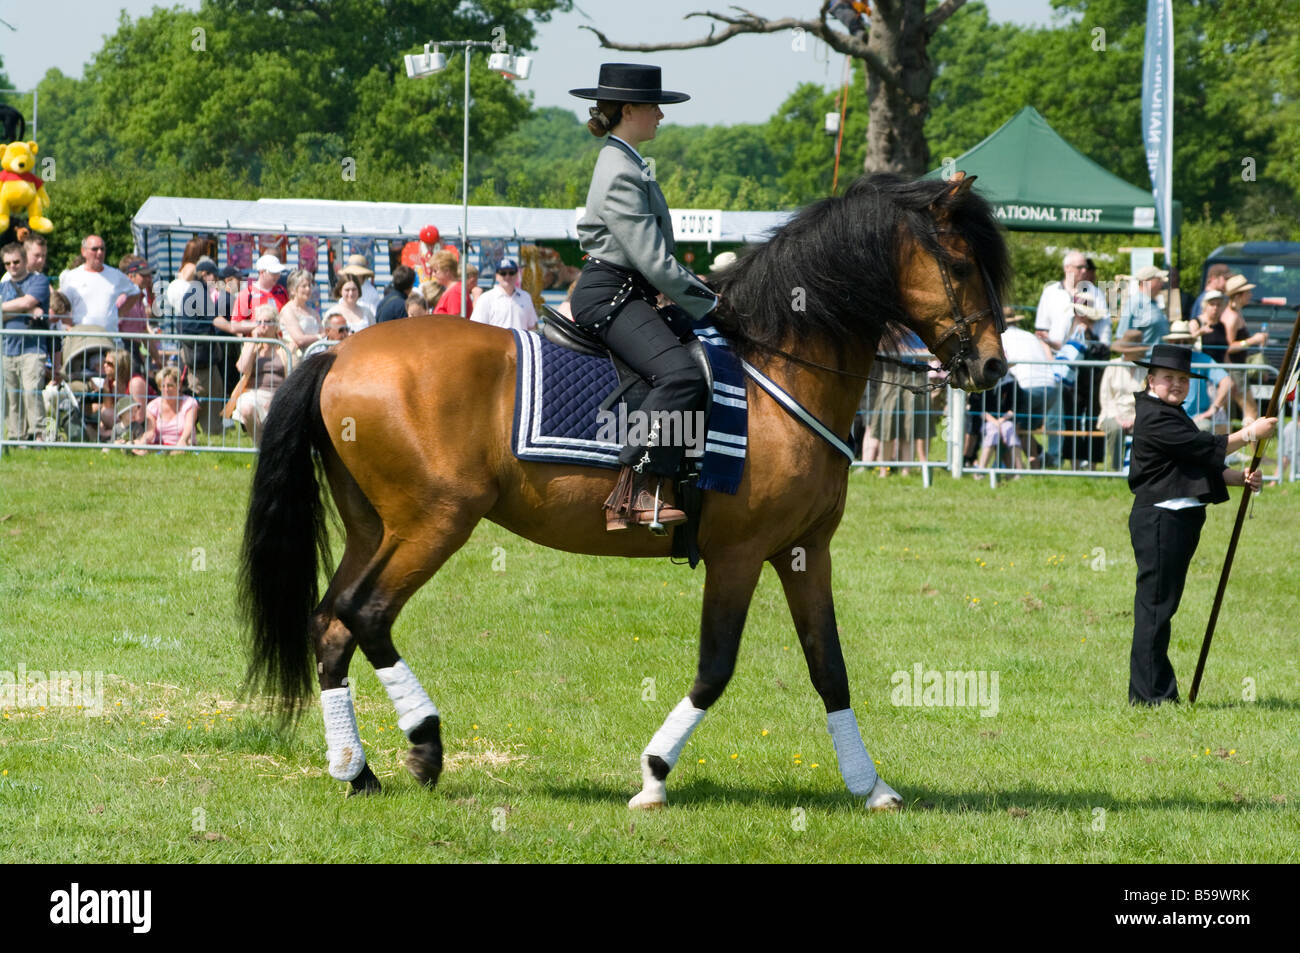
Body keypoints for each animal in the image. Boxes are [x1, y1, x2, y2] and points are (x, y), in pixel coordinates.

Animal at [240, 171, 1010, 810]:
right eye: (962, 265)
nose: (993, 369)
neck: (777, 372)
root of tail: (341, 350)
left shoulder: (803, 551)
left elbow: (830, 668)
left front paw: (870, 785)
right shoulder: (738, 555)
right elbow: (715, 667)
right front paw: (654, 774)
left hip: (378, 527)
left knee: (331, 623)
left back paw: (356, 770)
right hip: (434, 523)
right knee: (365, 614)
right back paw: (423, 743)